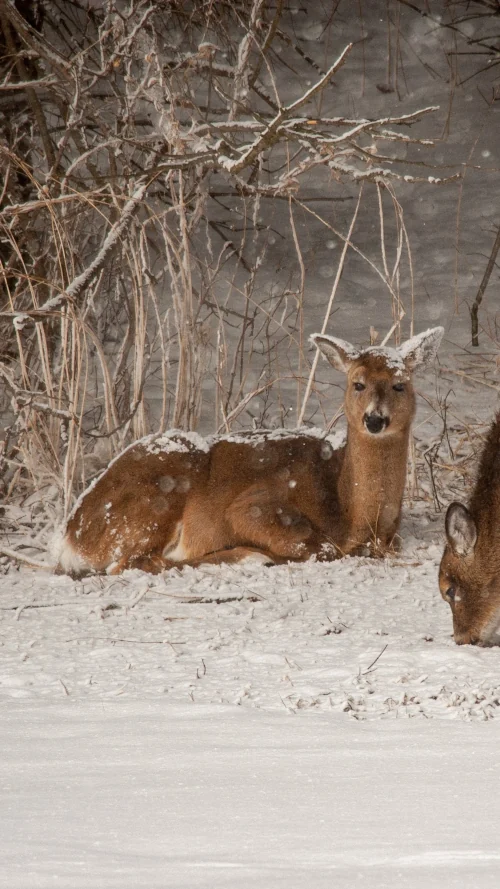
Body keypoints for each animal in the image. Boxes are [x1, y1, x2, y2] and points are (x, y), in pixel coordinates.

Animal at [56, 327, 443, 577]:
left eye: (400, 384)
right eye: (357, 383)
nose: (375, 419)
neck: (353, 516)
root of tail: (71, 533)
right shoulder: (253, 505)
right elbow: (320, 547)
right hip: (155, 500)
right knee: (131, 563)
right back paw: (249, 556)